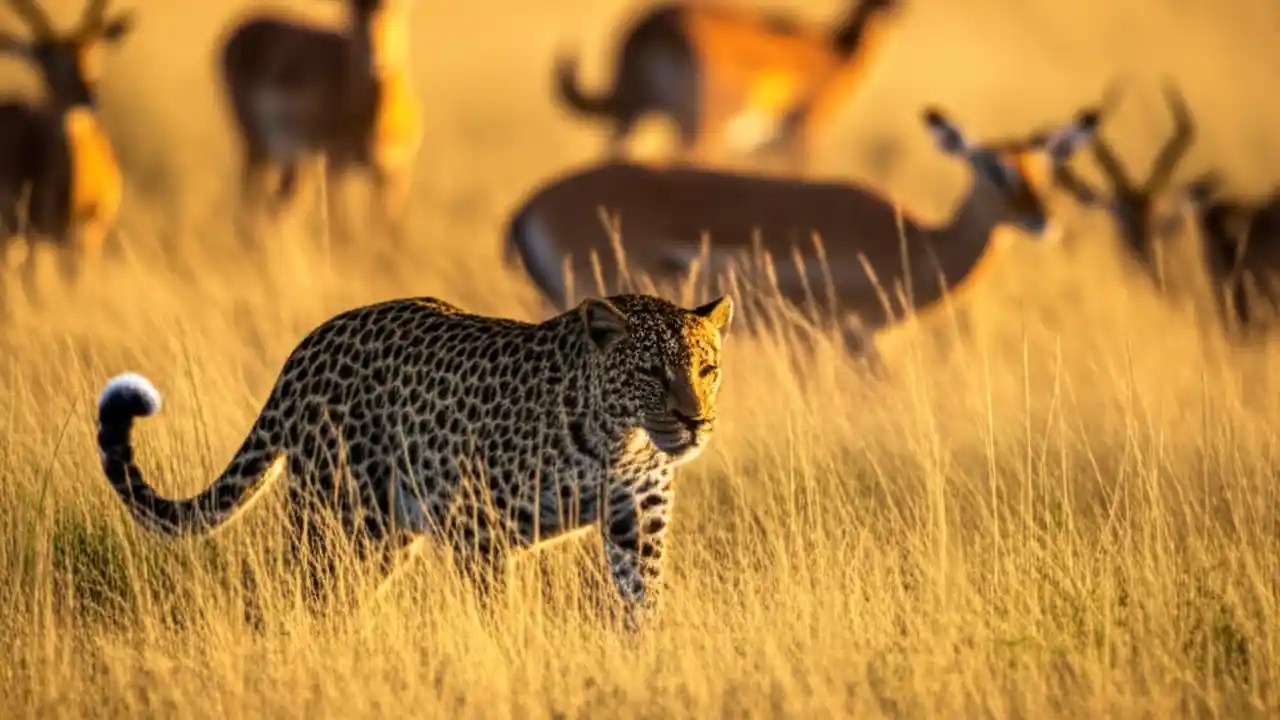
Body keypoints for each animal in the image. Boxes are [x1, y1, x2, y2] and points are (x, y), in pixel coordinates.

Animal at [96, 293, 733, 624]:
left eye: (708, 369)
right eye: (650, 371)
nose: (696, 420)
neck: (621, 443)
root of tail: (305, 348)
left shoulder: (637, 522)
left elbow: (640, 602)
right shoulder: (480, 525)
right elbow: (494, 608)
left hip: (383, 532)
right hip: (333, 512)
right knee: (304, 586)